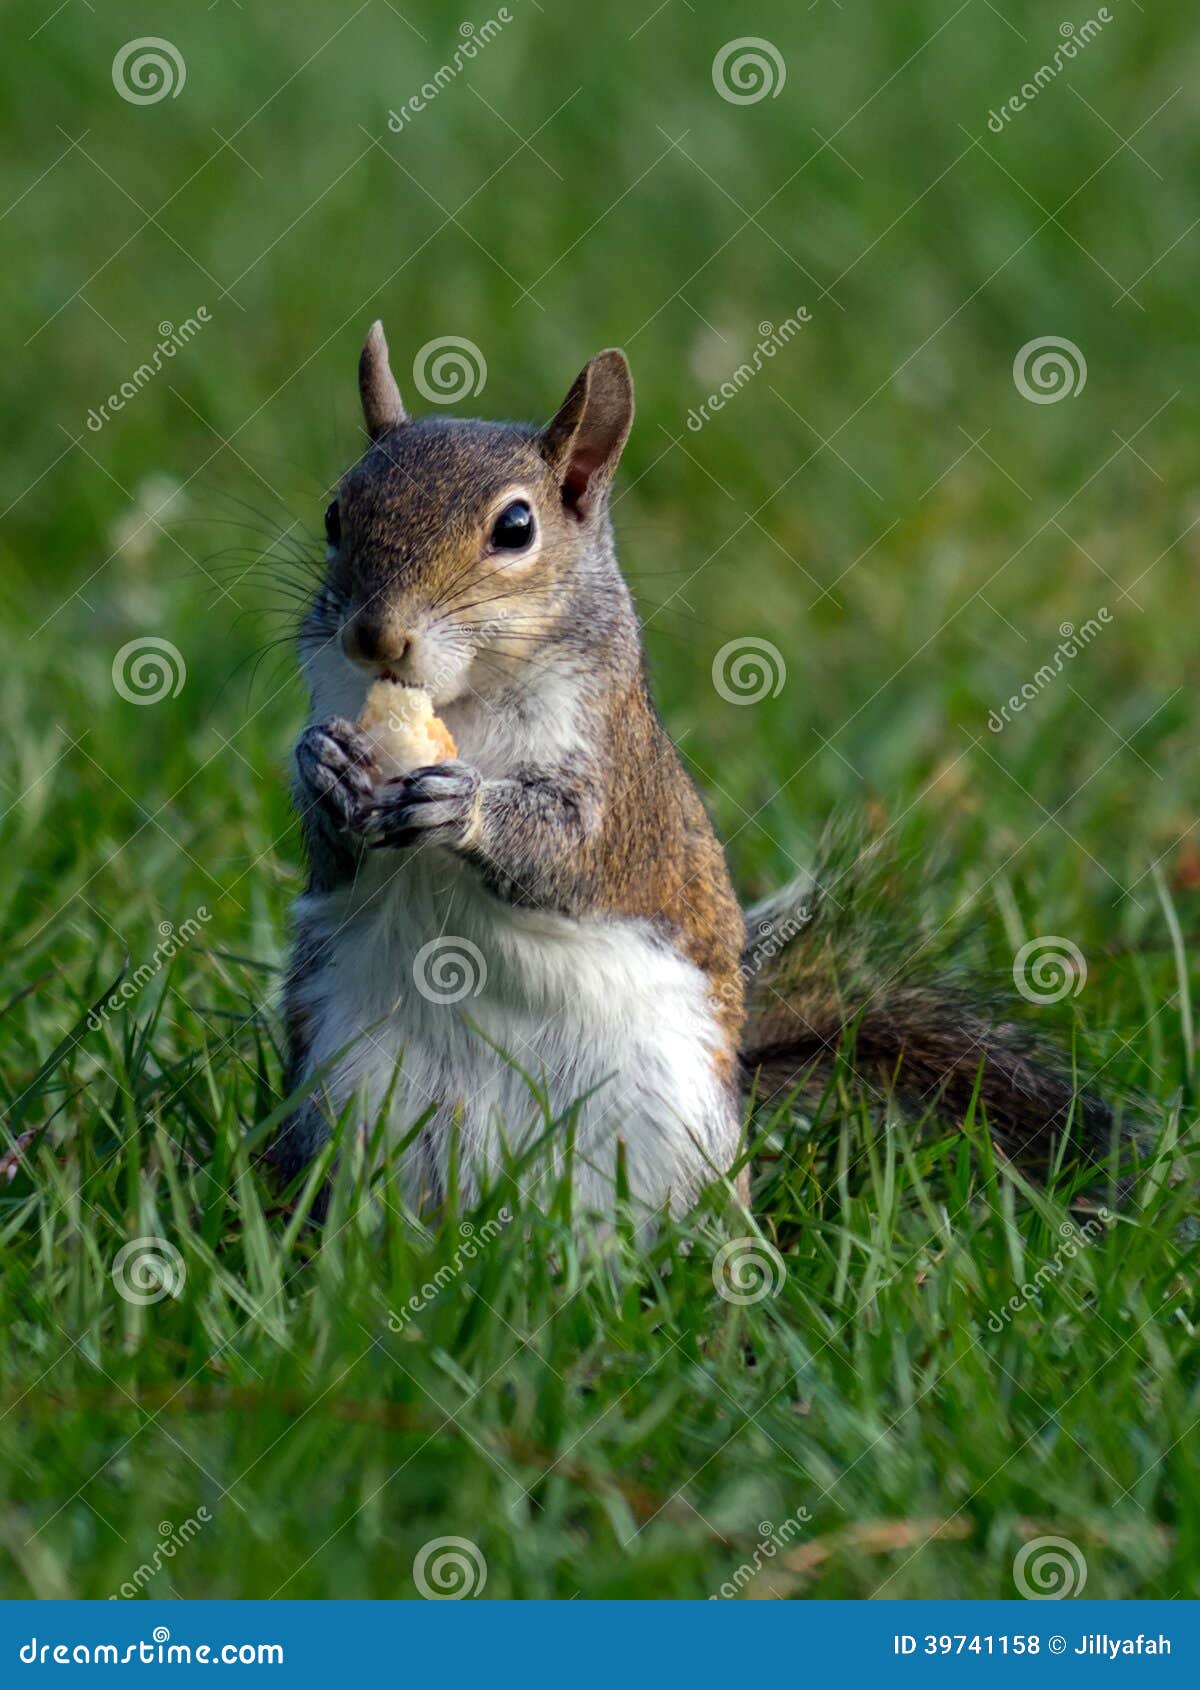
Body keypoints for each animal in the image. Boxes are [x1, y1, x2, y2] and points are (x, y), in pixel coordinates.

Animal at [271, 322, 1116, 1226]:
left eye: (516, 527)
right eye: (335, 513)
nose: (375, 636)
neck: (462, 702)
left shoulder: (619, 778)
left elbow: (573, 851)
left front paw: (465, 809)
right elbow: (334, 858)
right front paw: (322, 766)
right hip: (348, 1100)